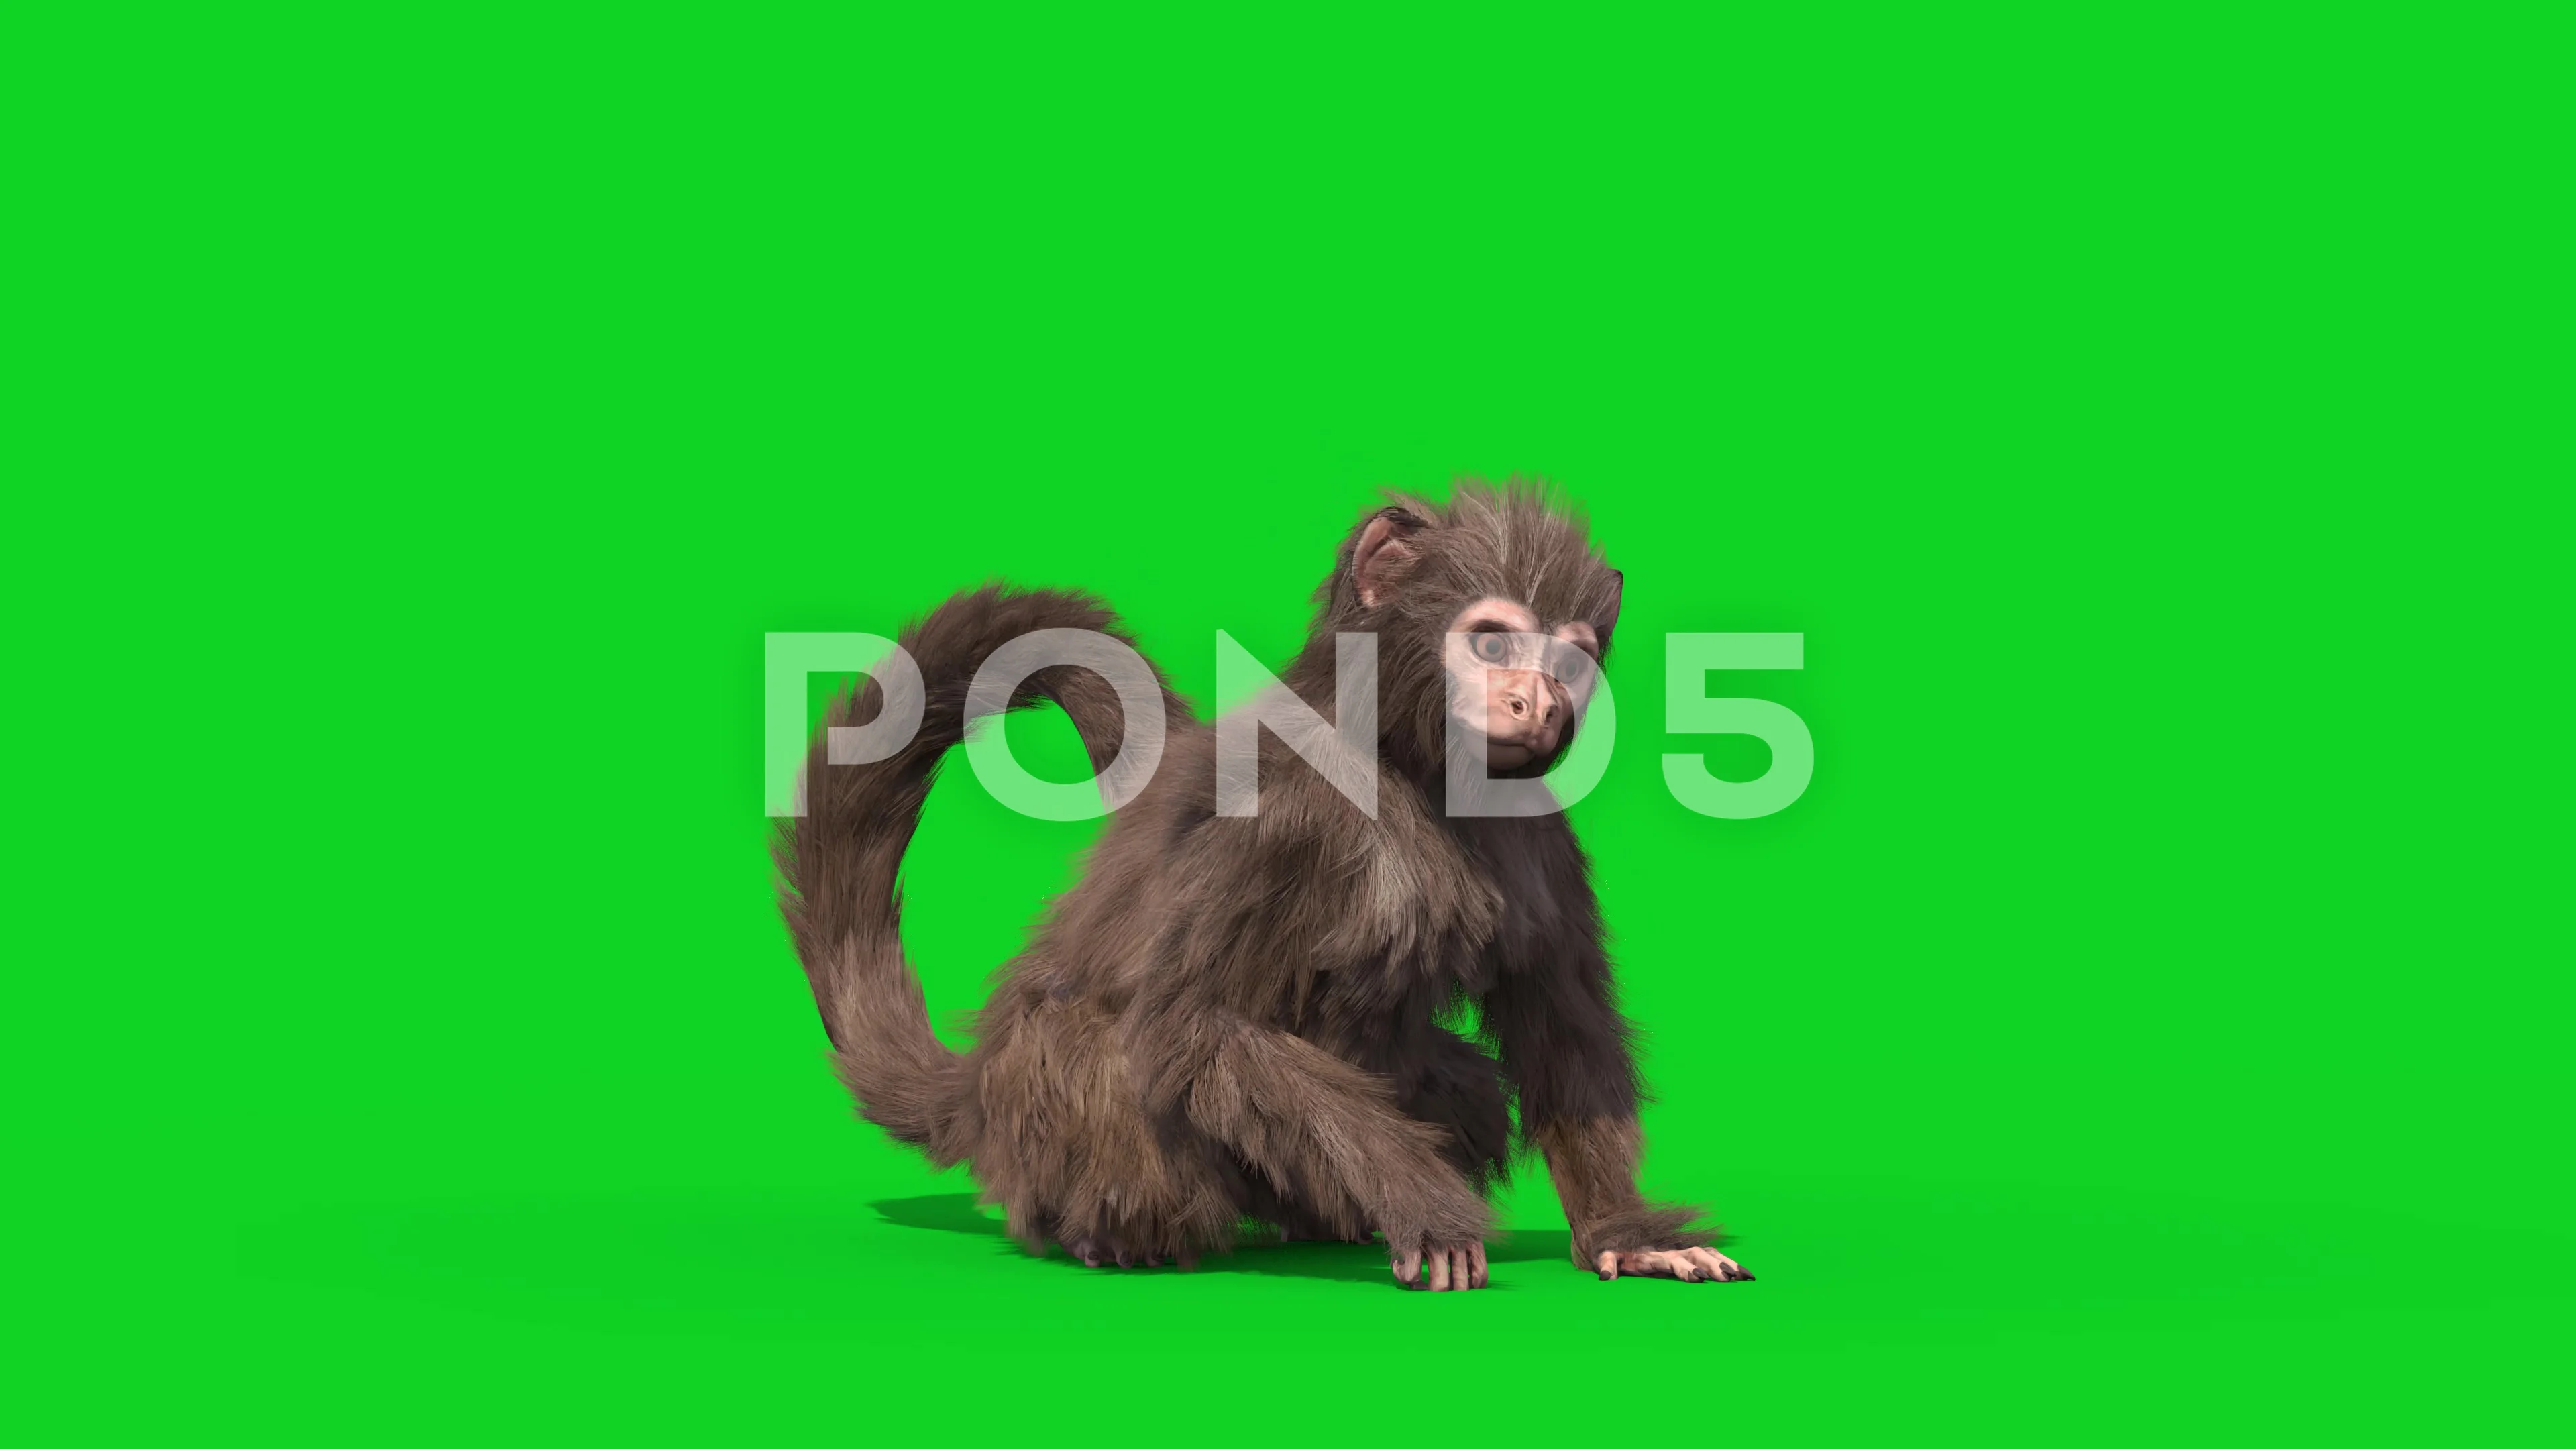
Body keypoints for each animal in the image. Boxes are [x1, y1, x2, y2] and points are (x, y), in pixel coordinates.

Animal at [773, 480, 1751, 1290]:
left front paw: (1629, 1233)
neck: (1403, 762)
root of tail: (980, 1088)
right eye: (1493, 639)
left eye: (1569, 661)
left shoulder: (1542, 834)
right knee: (1095, 1042)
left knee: (1466, 1087)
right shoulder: (1283, 814)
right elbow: (1194, 1026)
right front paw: (1428, 1215)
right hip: (1036, 1114)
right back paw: (1114, 1238)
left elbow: (1561, 1035)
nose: (1538, 702)